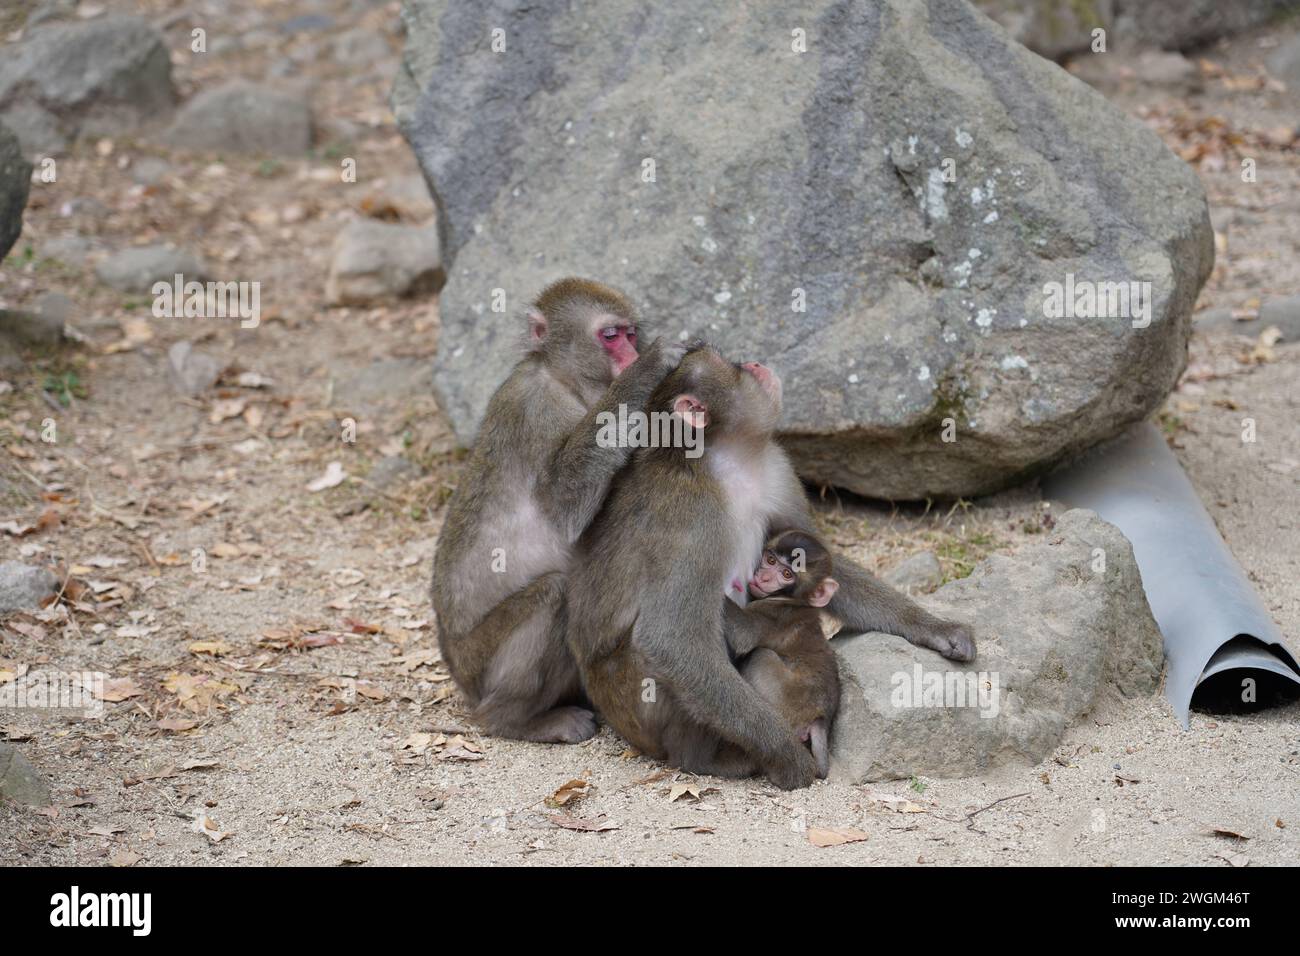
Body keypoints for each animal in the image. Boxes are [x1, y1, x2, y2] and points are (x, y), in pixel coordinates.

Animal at [431, 278, 685, 744]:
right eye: (611, 336)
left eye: (631, 333)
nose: (632, 355)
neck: (567, 381)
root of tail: (459, 672)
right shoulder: (536, 409)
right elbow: (563, 506)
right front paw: (649, 370)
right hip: (481, 661)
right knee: (553, 593)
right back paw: (514, 720)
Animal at [566, 345, 973, 789]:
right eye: (732, 366)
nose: (755, 363)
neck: (727, 458)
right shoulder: (693, 516)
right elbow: (669, 638)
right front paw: (788, 757)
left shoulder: (775, 469)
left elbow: (821, 555)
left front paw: (935, 628)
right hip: (638, 710)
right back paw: (710, 759)